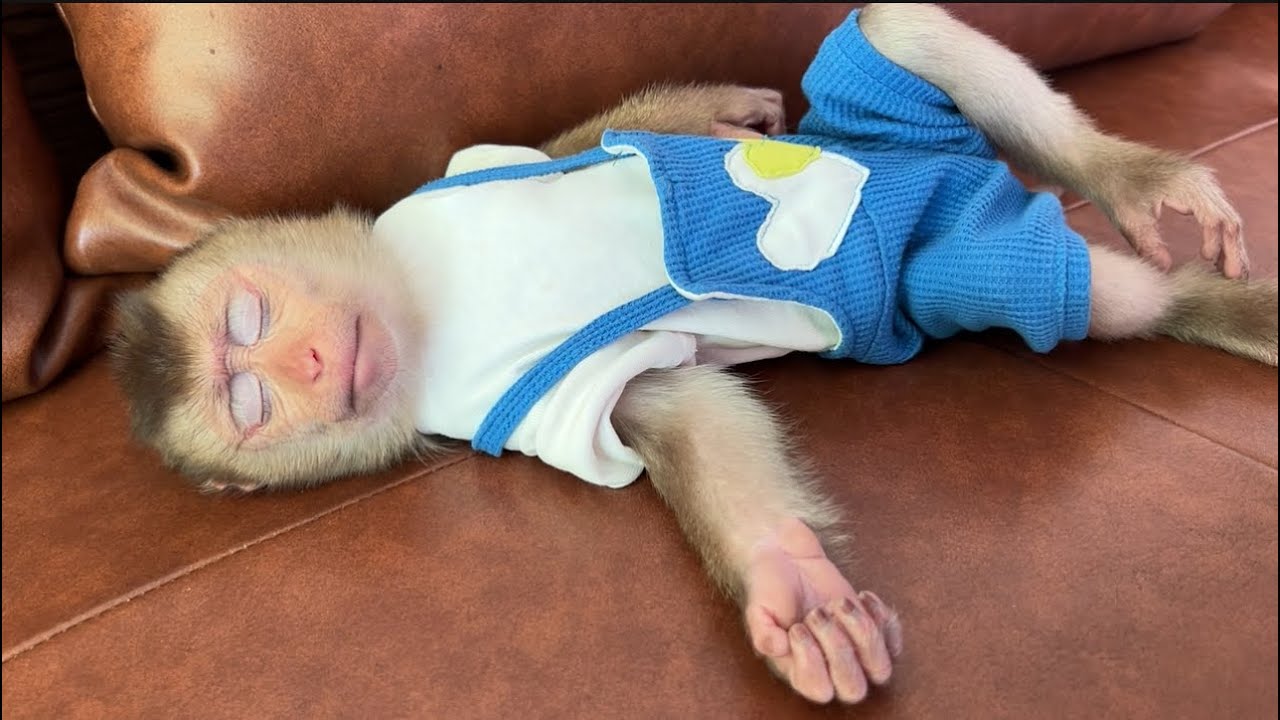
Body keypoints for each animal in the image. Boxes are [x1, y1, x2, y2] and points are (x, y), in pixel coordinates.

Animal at [108, 4, 1276, 706]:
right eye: (249, 406)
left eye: (247, 326)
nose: (307, 366)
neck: (421, 305)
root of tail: (970, 176)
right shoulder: (542, 403)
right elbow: (674, 405)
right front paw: (791, 584)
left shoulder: (459, 168)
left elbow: (580, 144)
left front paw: (719, 110)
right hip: (950, 266)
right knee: (1064, 285)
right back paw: (1187, 293)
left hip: (890, 130)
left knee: (894, 30)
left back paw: (1133, 181)